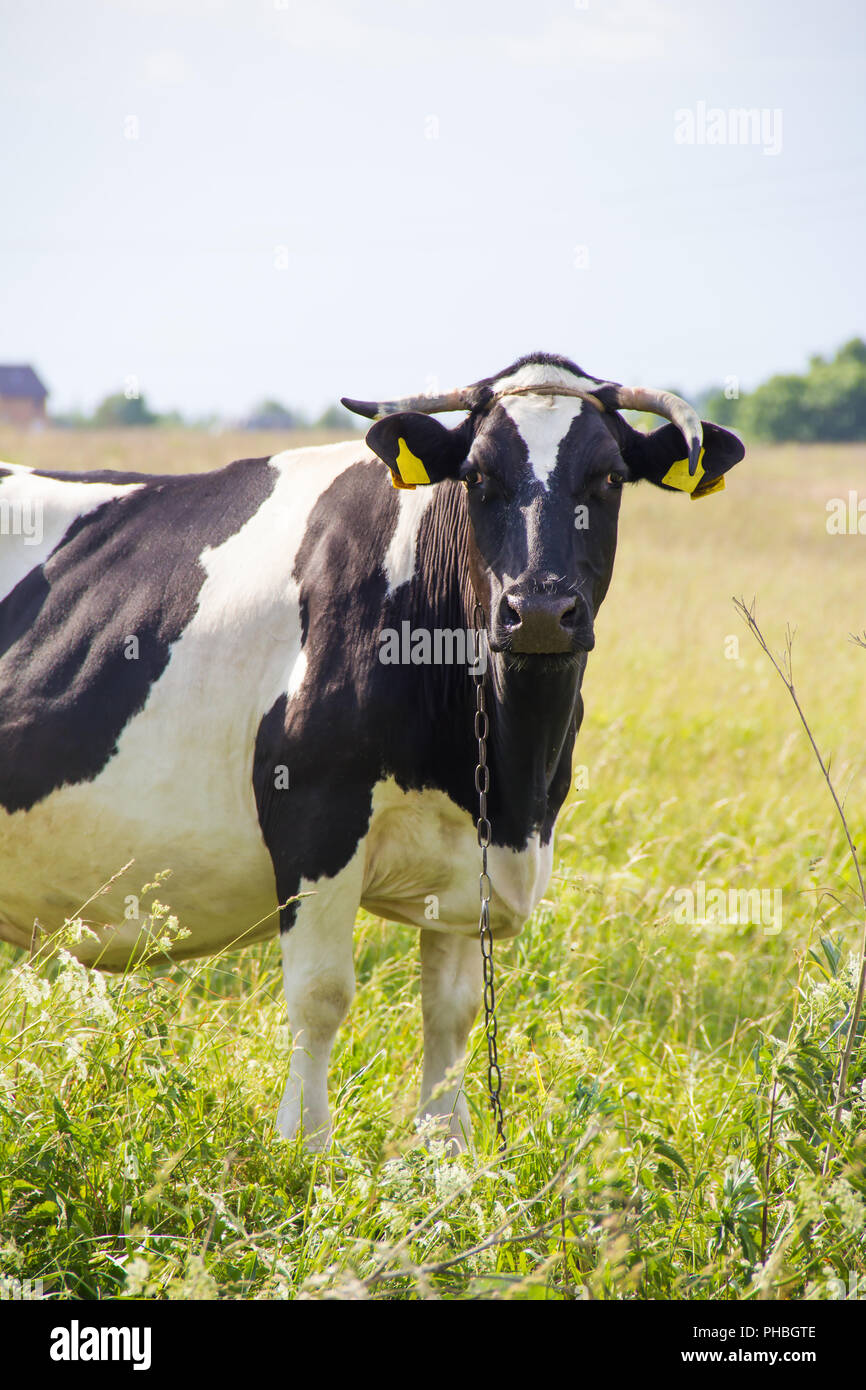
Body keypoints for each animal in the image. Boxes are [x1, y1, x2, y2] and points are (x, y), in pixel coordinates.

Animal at [0, 352, 745, 1151]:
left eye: (608, 476)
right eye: (477, 476)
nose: (540, 610)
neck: (512, 777)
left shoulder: (470, 861)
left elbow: (452, 1014)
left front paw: (445, 1156)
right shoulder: (316, 819)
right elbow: (320, 997)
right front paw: (302, 1151)